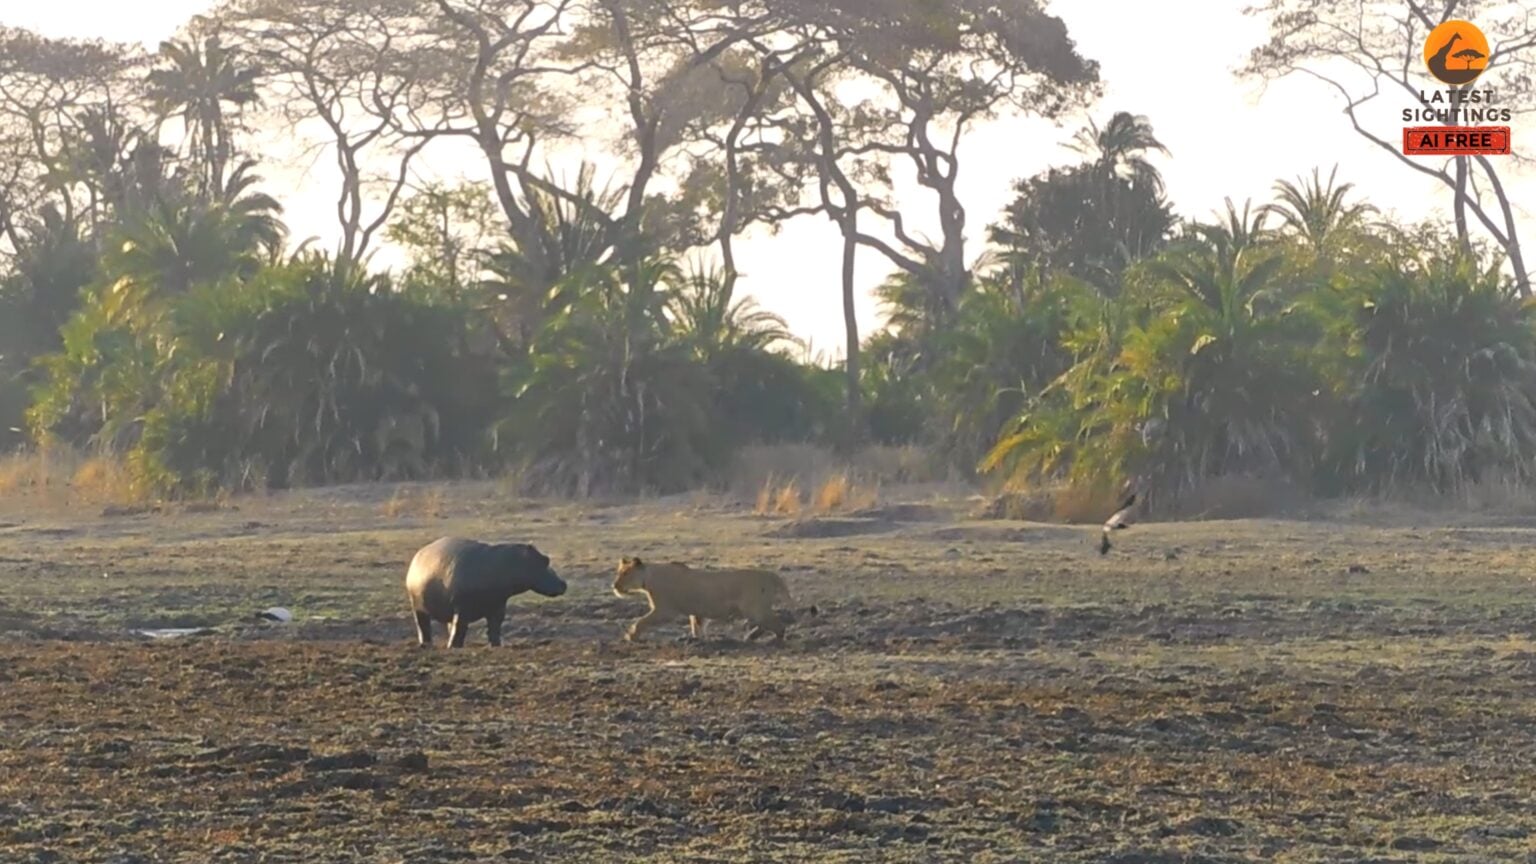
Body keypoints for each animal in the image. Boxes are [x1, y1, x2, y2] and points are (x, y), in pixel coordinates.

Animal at [405, 536, 567, 648]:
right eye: (545, 560)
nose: (564, 583)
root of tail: (418, 554)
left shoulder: (498, 606)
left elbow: (495, 628)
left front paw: (496, 645)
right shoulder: (462, 608)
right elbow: (460, 628)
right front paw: (453, 647)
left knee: (449, 625)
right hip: (418, 607)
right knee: (423, 626)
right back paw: (425, 645)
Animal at [611, 556, 812, 643]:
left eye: (625, 573)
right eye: (619, 572)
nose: (614, 585)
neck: (648, 577)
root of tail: (771, 575)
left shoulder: (665, 610)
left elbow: (641, 621)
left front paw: (631, 635)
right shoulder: (696, 611)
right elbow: (697, 625)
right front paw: (697, 639)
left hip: (753, 608)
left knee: (777, 624)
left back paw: (769, 638)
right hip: (756, 609)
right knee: (768, 623)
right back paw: (751, 636)